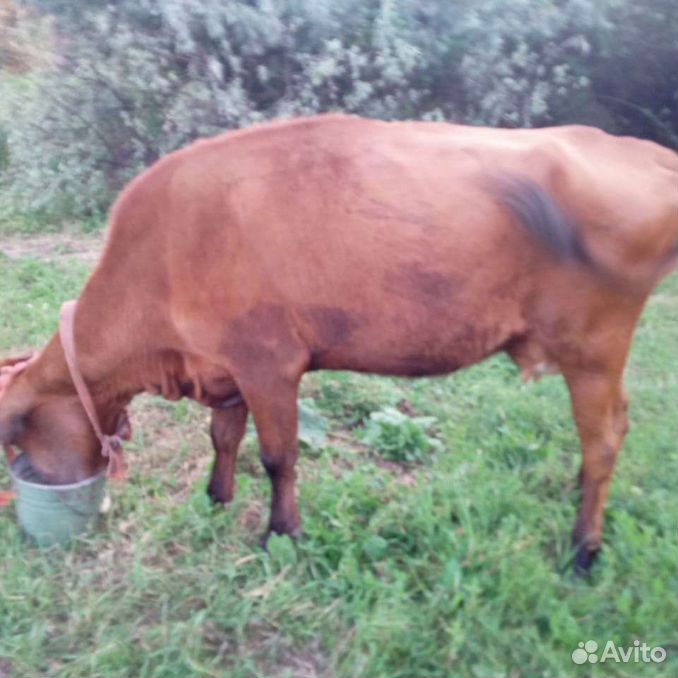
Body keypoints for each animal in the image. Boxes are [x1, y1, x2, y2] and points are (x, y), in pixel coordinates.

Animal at [0, 115, 676, 572]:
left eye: (16, 437)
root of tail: (640, 150)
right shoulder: (228, 368)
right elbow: (223, 437)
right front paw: (216, 499)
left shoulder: (270, 363)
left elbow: (278, 456)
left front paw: (281, 534)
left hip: (593, 348)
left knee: (605, 437)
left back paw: (584, 549)